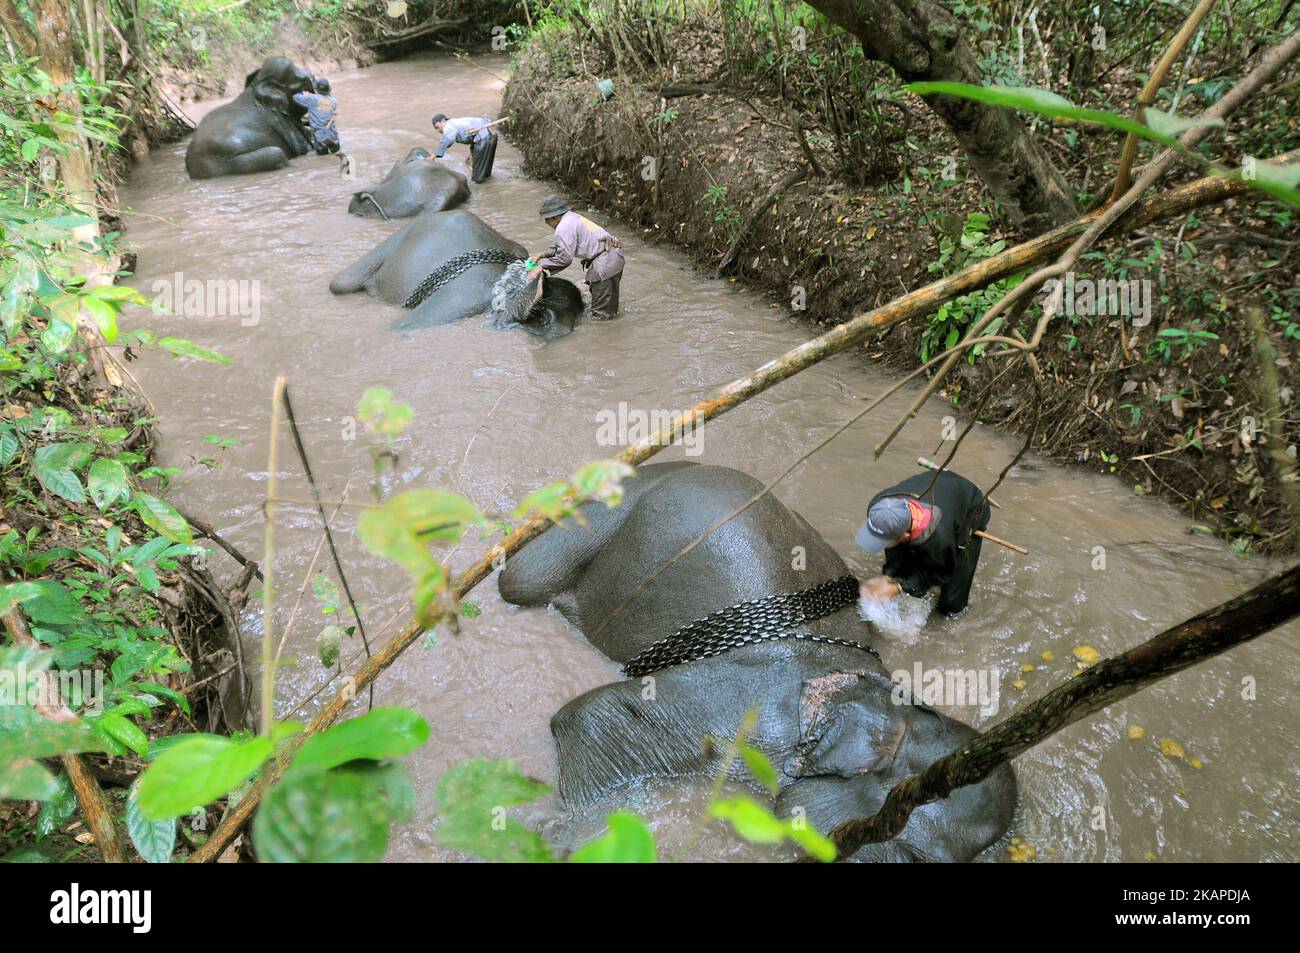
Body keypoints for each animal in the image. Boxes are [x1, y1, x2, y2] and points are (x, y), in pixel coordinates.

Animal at [185, 56, 315, 179]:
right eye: (302, 80)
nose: (313, 77)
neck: (257, 84)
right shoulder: (282, 121)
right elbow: (304, 147)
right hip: (235, 163)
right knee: (276, 155)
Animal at [498, 461, 1017, 862]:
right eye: (911, 855)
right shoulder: (751, 708)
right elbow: (591, 715)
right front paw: (560, 840)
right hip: (595, 517)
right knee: (518, 581)